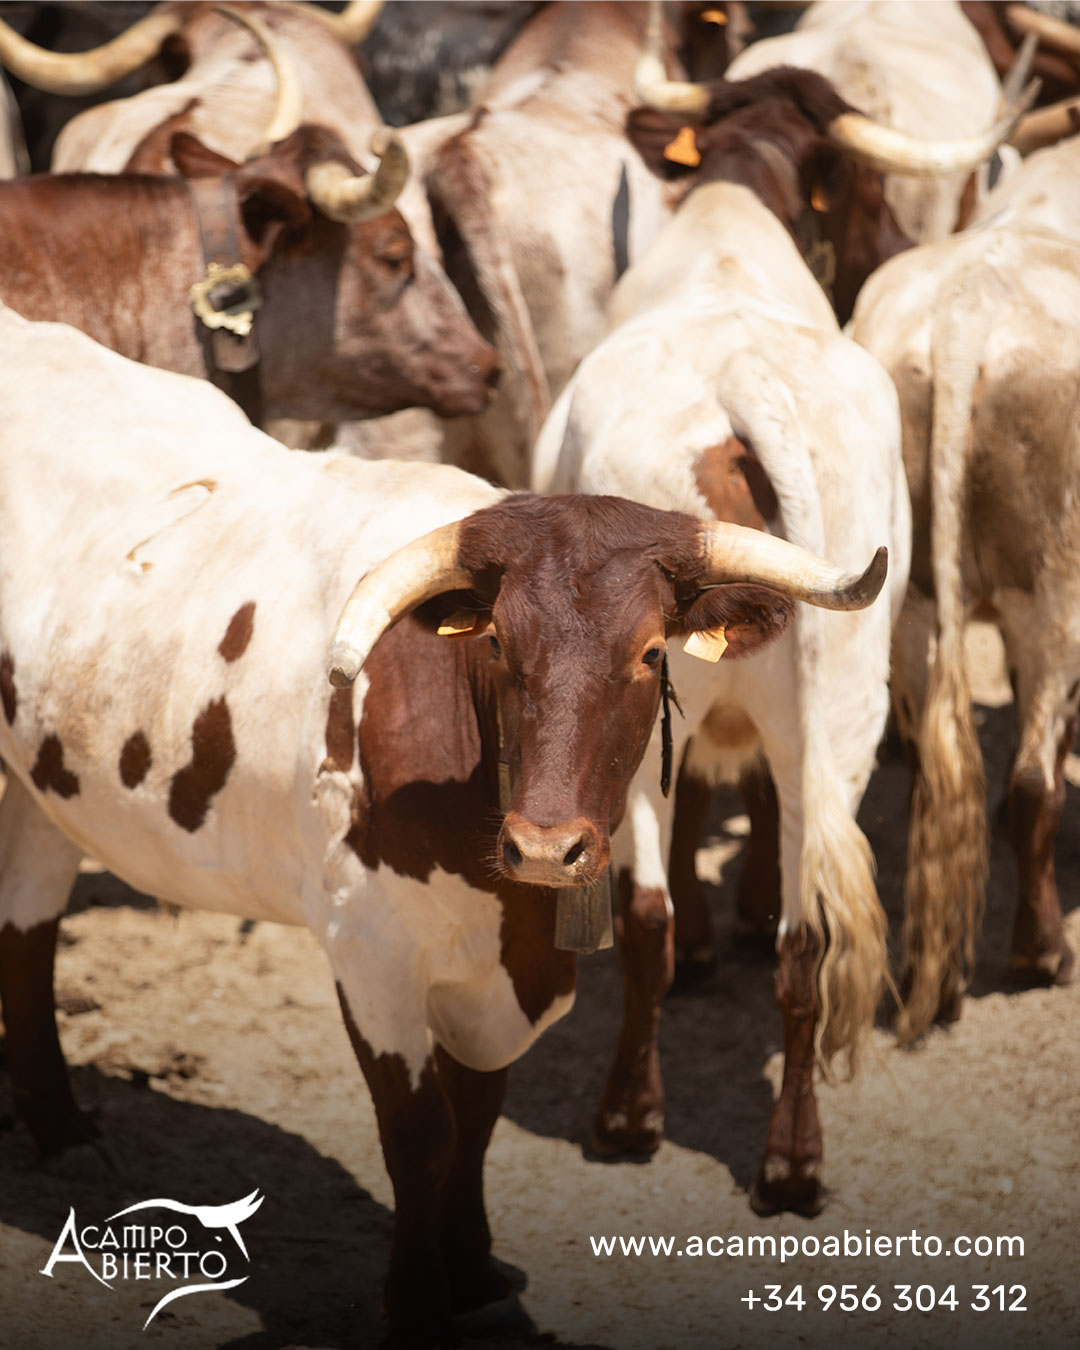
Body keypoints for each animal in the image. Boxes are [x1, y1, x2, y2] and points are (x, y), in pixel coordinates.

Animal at [0, 303, 887, 1345]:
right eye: (500, 643)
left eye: (649, 652)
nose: (547, 847)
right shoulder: (371, 956)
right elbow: (423, 1136)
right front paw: (418, 1303)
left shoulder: (500, 978)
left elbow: (480, 1114)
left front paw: (472, 1270)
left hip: (42, 784)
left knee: (27, 923)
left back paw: (61, 1131)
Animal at [531, 58, 913, 1213]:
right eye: (861, 192)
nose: (895, 243)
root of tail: (744, 389)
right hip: (846, 713)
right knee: (806, 939)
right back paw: (793, 1156)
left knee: (649, 913)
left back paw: (628, 1112)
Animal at [849, 131, 1080, 1040]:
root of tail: (963, 319)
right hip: (1052, 586)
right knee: (1031, 780)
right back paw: (1041, 951)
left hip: (904, 591)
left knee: (939, 766)